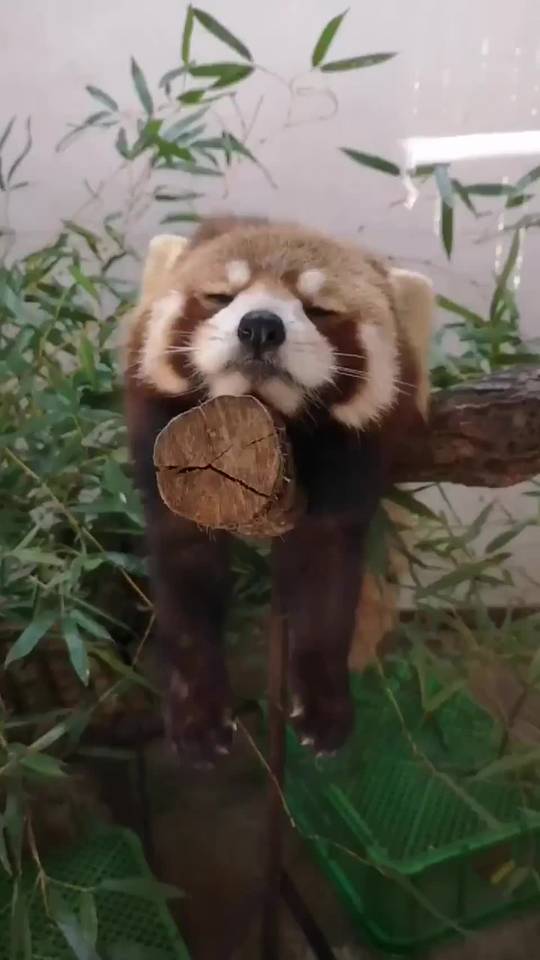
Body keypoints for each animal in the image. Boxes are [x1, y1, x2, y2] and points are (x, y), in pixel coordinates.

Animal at [123, 217, 433, 765]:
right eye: (220, 296)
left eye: (320, 309)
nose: (261, 326)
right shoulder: (176, 465)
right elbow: (185, 577)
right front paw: (196, 715)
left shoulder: (349, 467)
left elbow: (325, 576)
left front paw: (324, 705)